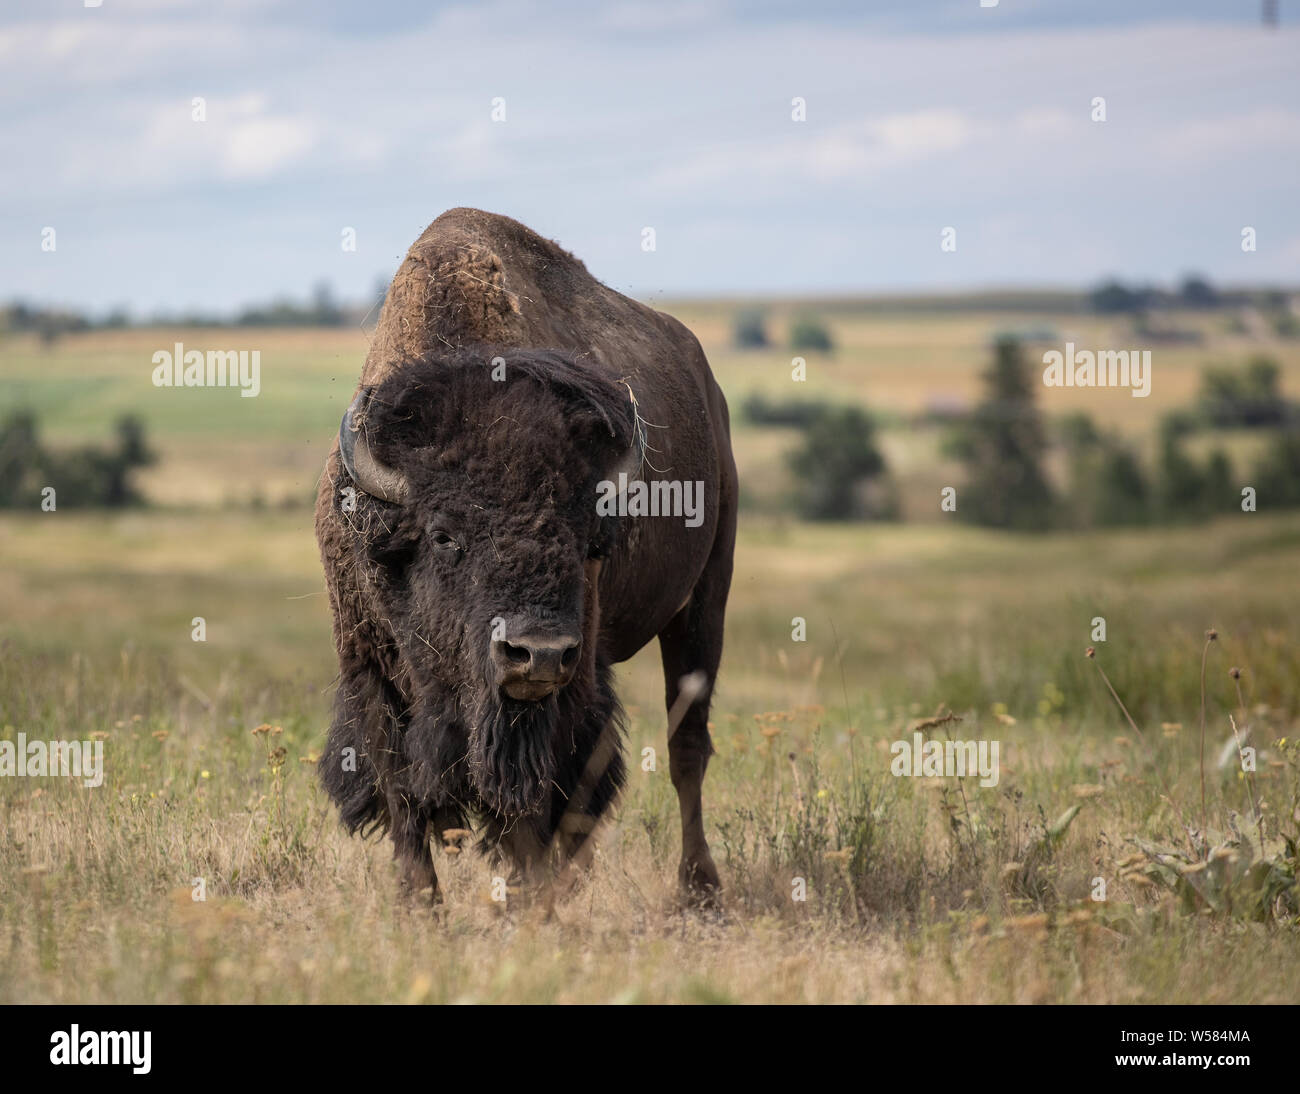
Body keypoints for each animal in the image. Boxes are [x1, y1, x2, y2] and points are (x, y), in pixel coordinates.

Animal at [315, 208, 737, 903]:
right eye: (444, 535)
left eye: (586, 538)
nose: (535, 653)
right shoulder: (368, 665)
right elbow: (401, 789)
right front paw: (420, 903)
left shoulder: (565, 687)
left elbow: (536, 801)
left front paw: (531, 900)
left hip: (703, 606)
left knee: (687, 749)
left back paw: (697, 888)